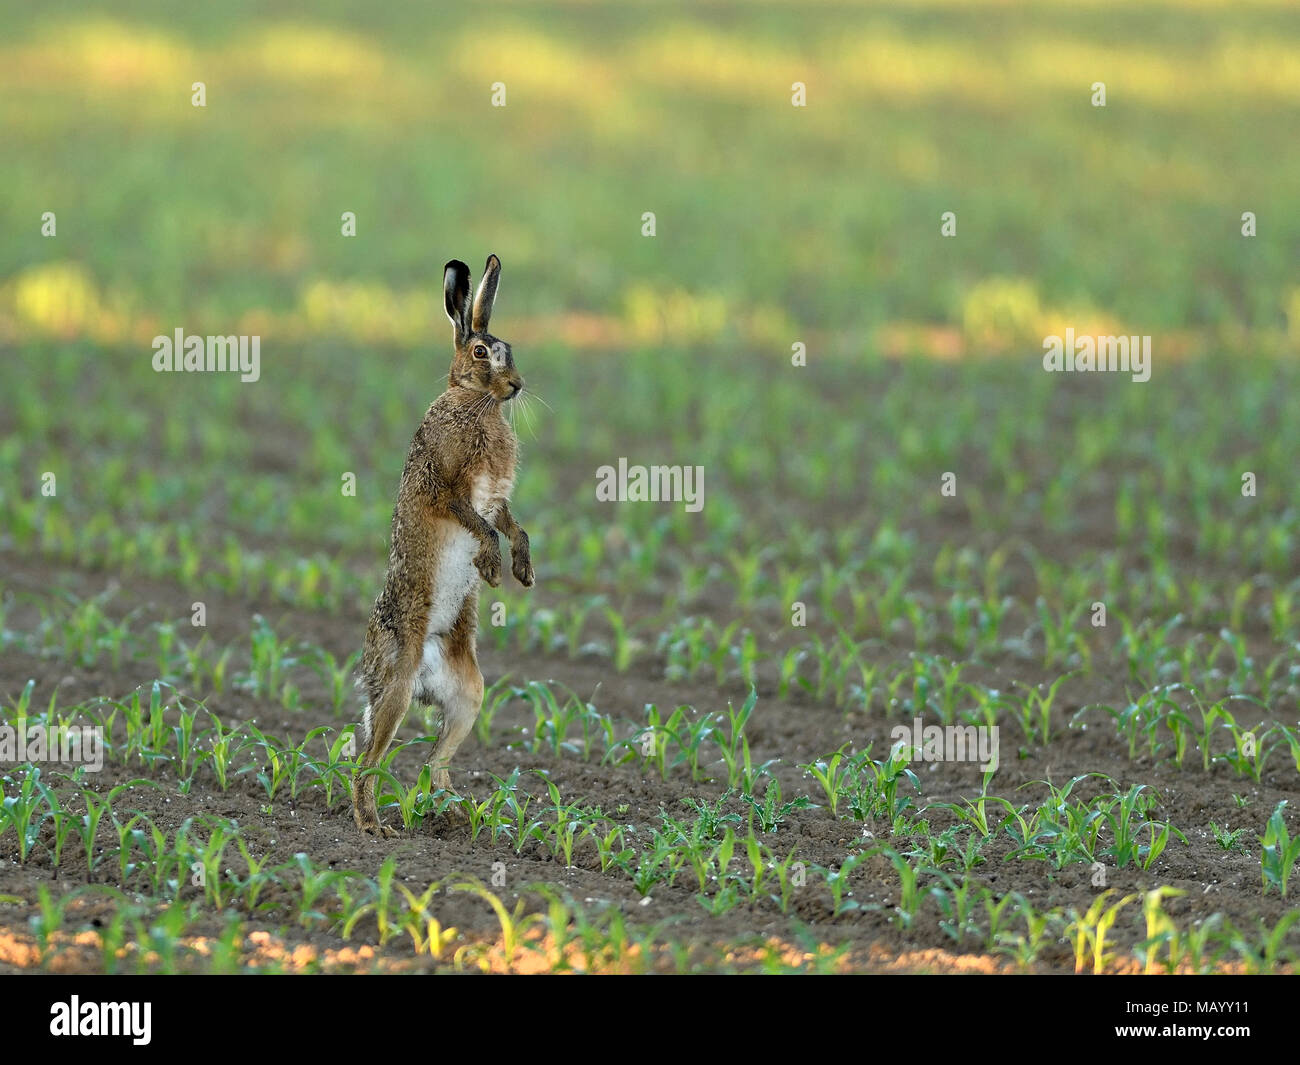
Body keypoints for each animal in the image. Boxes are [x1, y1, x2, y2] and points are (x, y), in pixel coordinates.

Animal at [352, 254, 534, 837]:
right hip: (396, 685)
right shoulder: (448, 489)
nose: (517, 385)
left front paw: (523, 571)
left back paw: (459, 814)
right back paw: (374, 827)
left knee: (435, 762)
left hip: (470, 693)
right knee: (366, 763)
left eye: (508, 350)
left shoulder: (497, 497)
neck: (475, 401)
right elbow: (482, 526)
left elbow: (513, 525)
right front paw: (493, 568)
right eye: (480, 353)